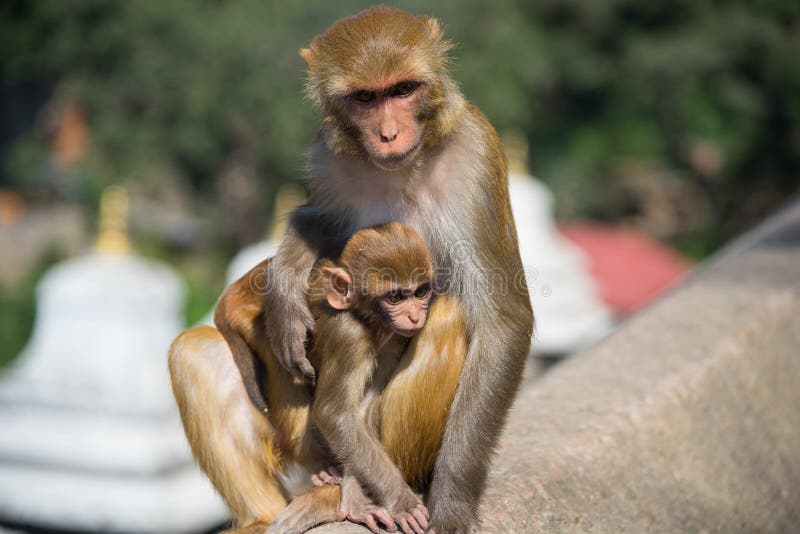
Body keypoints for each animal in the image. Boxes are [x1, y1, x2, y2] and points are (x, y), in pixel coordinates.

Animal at [169, 6, 533, 533]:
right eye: (365, 97)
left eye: (403, 90)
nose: (389, 134)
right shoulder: (327, 155)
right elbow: (315, 219)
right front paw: (283, 295)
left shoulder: (476, 157)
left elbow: (502, 320)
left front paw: (452, 505)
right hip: (293, 445)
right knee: (192, 351)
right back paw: (264, 515)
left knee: (449, 318)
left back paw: (351, 495)